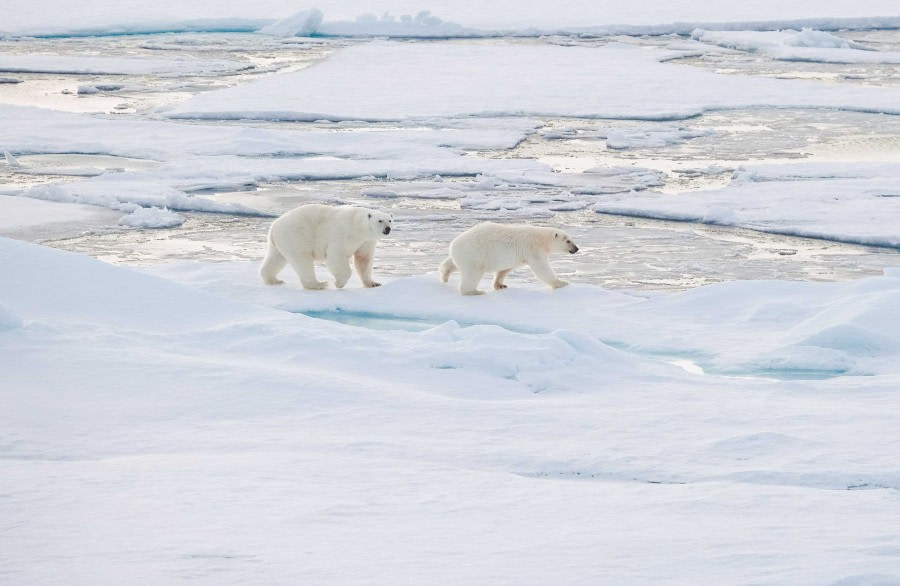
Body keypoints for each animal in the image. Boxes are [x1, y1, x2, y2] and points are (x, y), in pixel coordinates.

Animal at [260, 204, 393, 290]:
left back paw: (274, 280)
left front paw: (373, 283)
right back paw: (319, 284)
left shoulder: (366, 241)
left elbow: (363, 259)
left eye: (390, 220)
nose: (388, 229)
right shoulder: (345, 233)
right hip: (297, 237)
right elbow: (336, 255)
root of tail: (274, 226)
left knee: (276, 258)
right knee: (303, 261)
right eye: (380, 220)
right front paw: (339, 283)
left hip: (280, 241)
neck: (358, 224)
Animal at [440, 222, 579, 295]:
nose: (576, 248)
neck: (541, 239)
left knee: (453, 263)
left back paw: (445, 273)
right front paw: (561, 283)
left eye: (571, 239)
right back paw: (475, 291)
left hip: (464, 255)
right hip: (474, 255)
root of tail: (453, 244)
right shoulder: (533, 250)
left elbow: (505, 269)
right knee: (472, 274)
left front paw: (500, 285)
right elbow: (542, 268)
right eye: (568, 241)